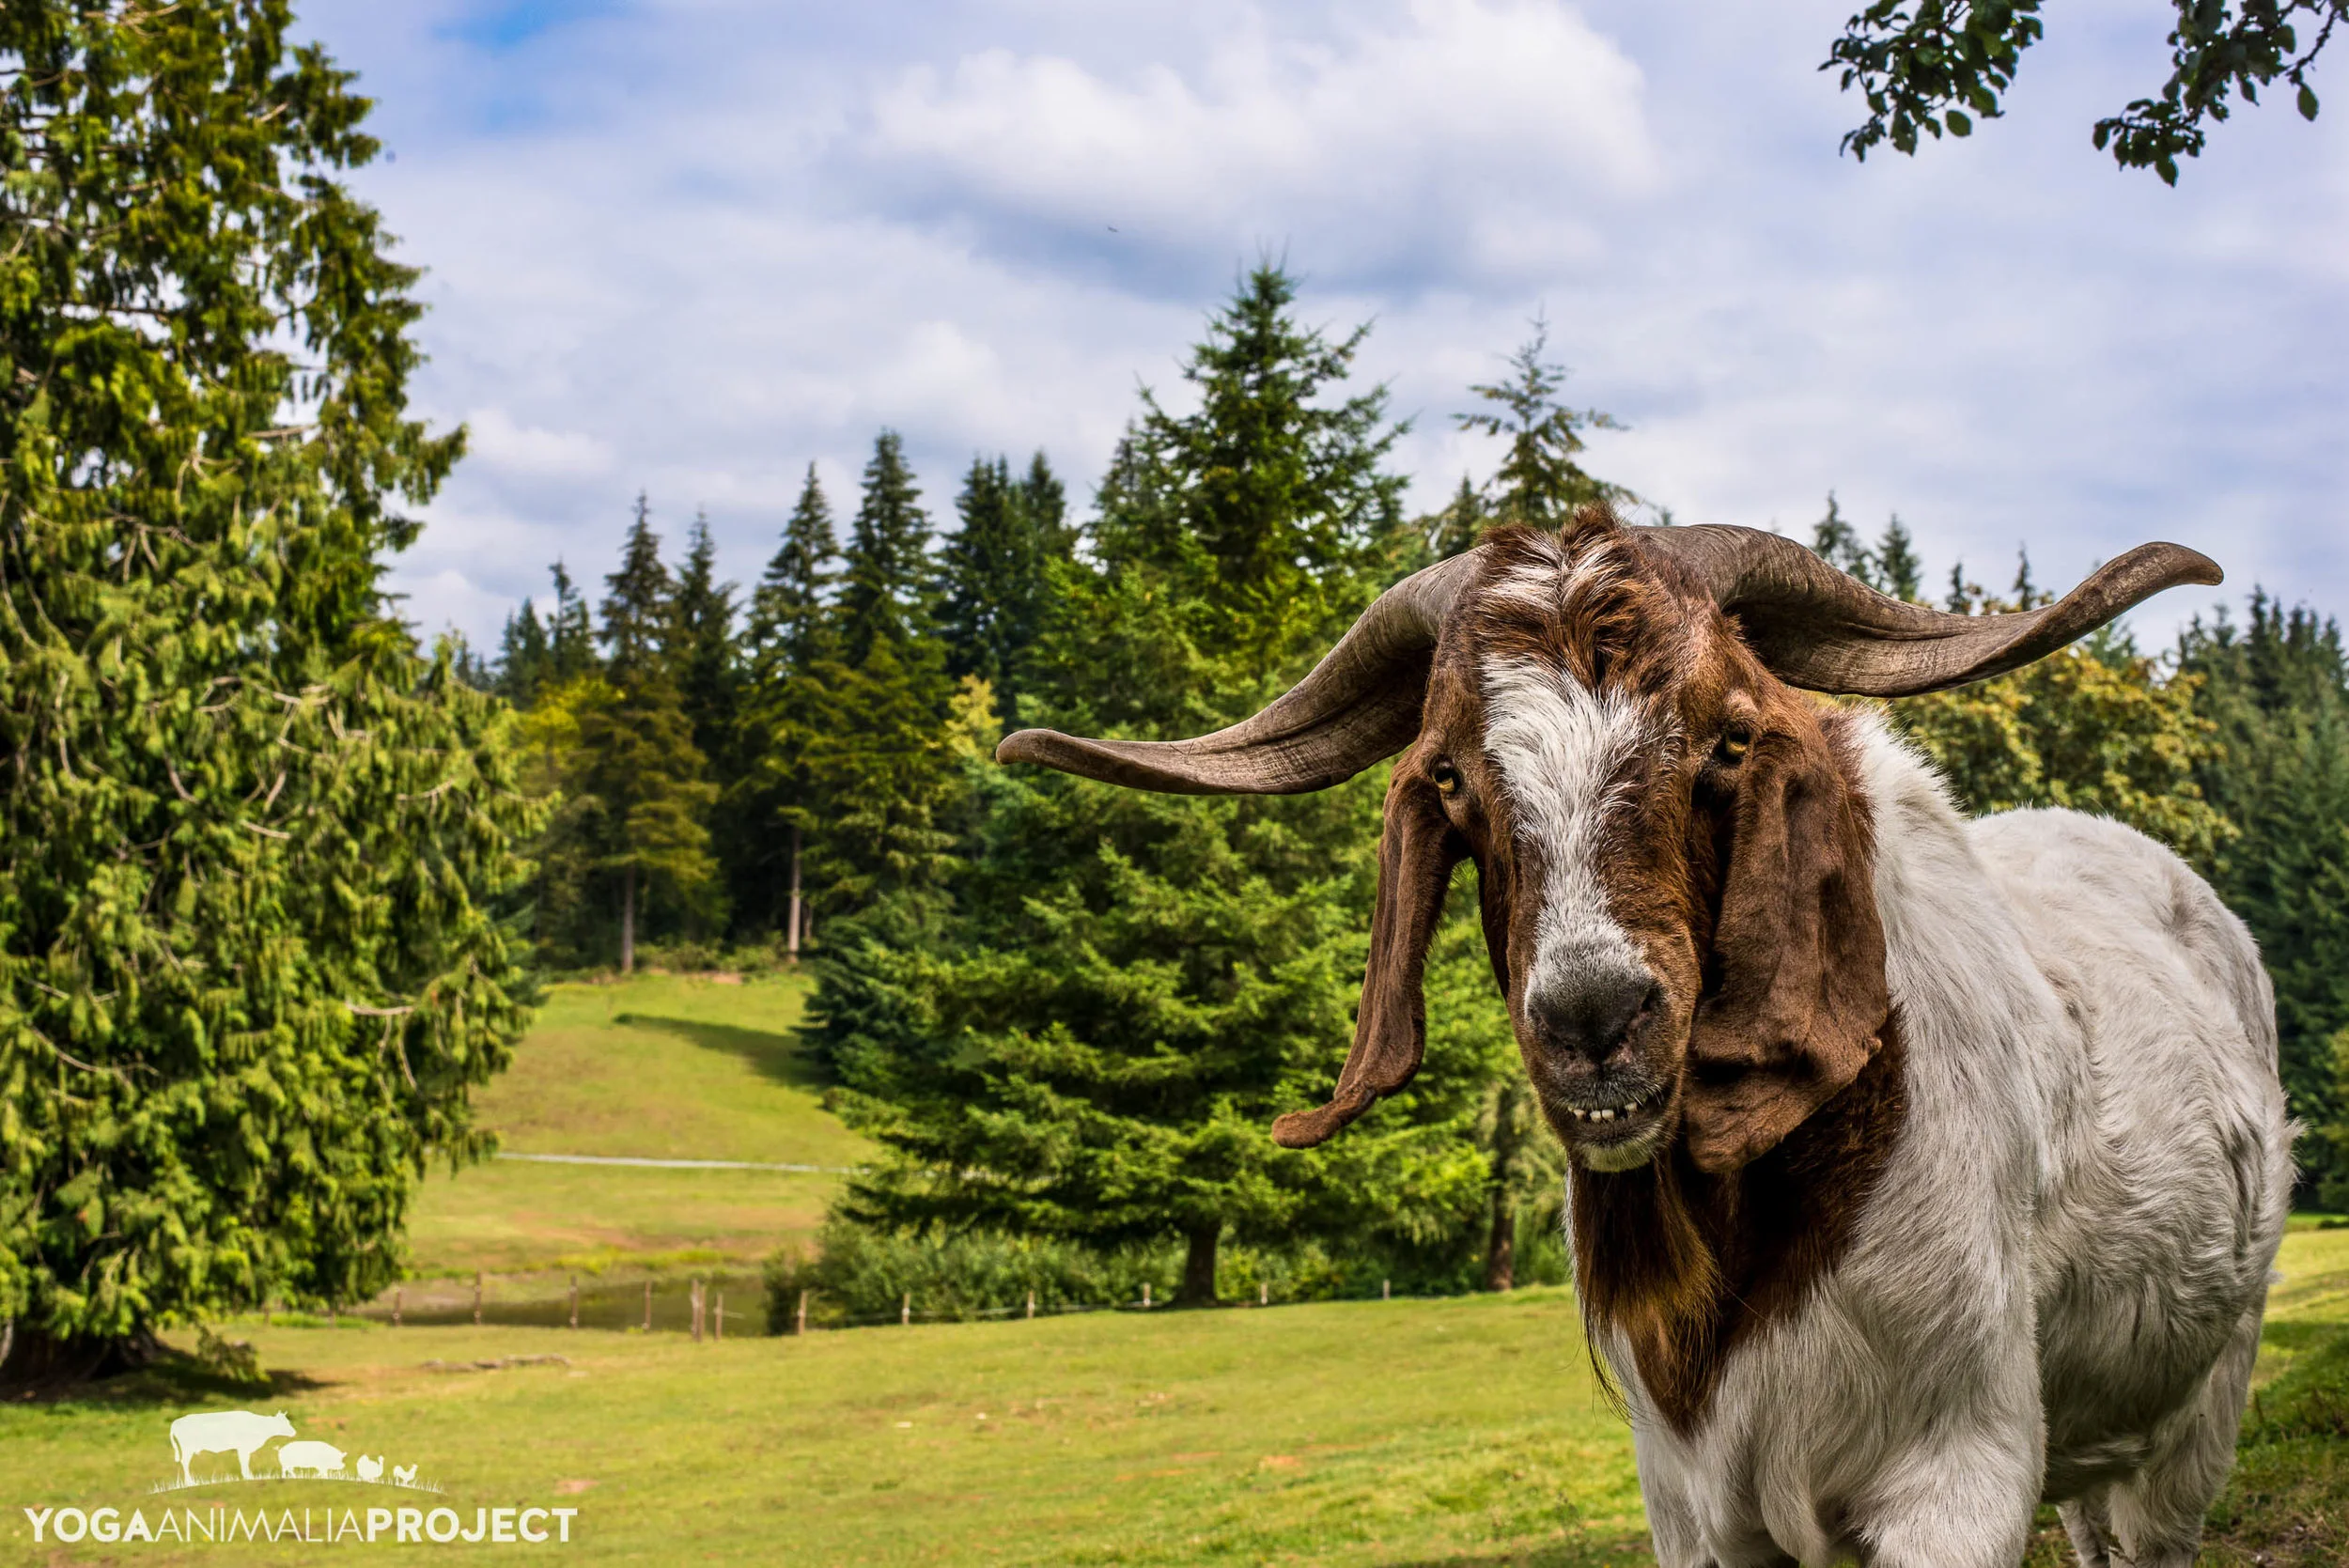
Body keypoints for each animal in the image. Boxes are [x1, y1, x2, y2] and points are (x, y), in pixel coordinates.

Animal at [998, 512, 2293, 1568]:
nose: (1593, 1022)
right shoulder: (1693, 1503)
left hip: (2204, 1398)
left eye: (1727, 738)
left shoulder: (1955, 1474)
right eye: (1453, 776)